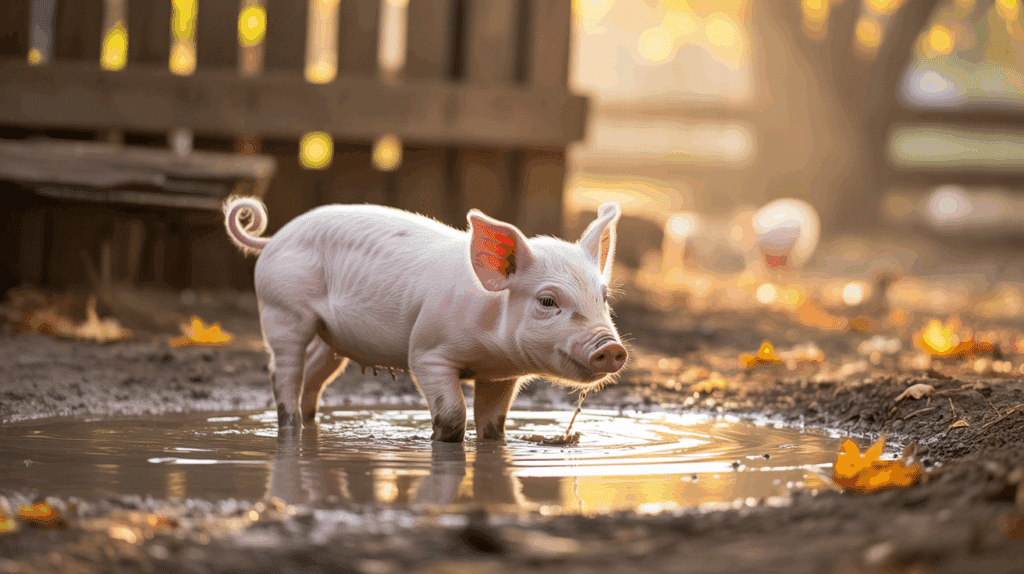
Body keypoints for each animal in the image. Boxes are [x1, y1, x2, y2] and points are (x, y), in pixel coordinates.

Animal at [223, 197, 628, 442]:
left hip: (331, 339)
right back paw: (290, 425)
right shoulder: (428, 352)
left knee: (312, 376)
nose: (610, 347)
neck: (491, 351)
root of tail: (274, 238)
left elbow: (493, 426)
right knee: (283, 372)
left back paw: (311, 423)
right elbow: (451, 416)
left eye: (604, 297)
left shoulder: (500, 376)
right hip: (283, 310)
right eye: (547, 300)